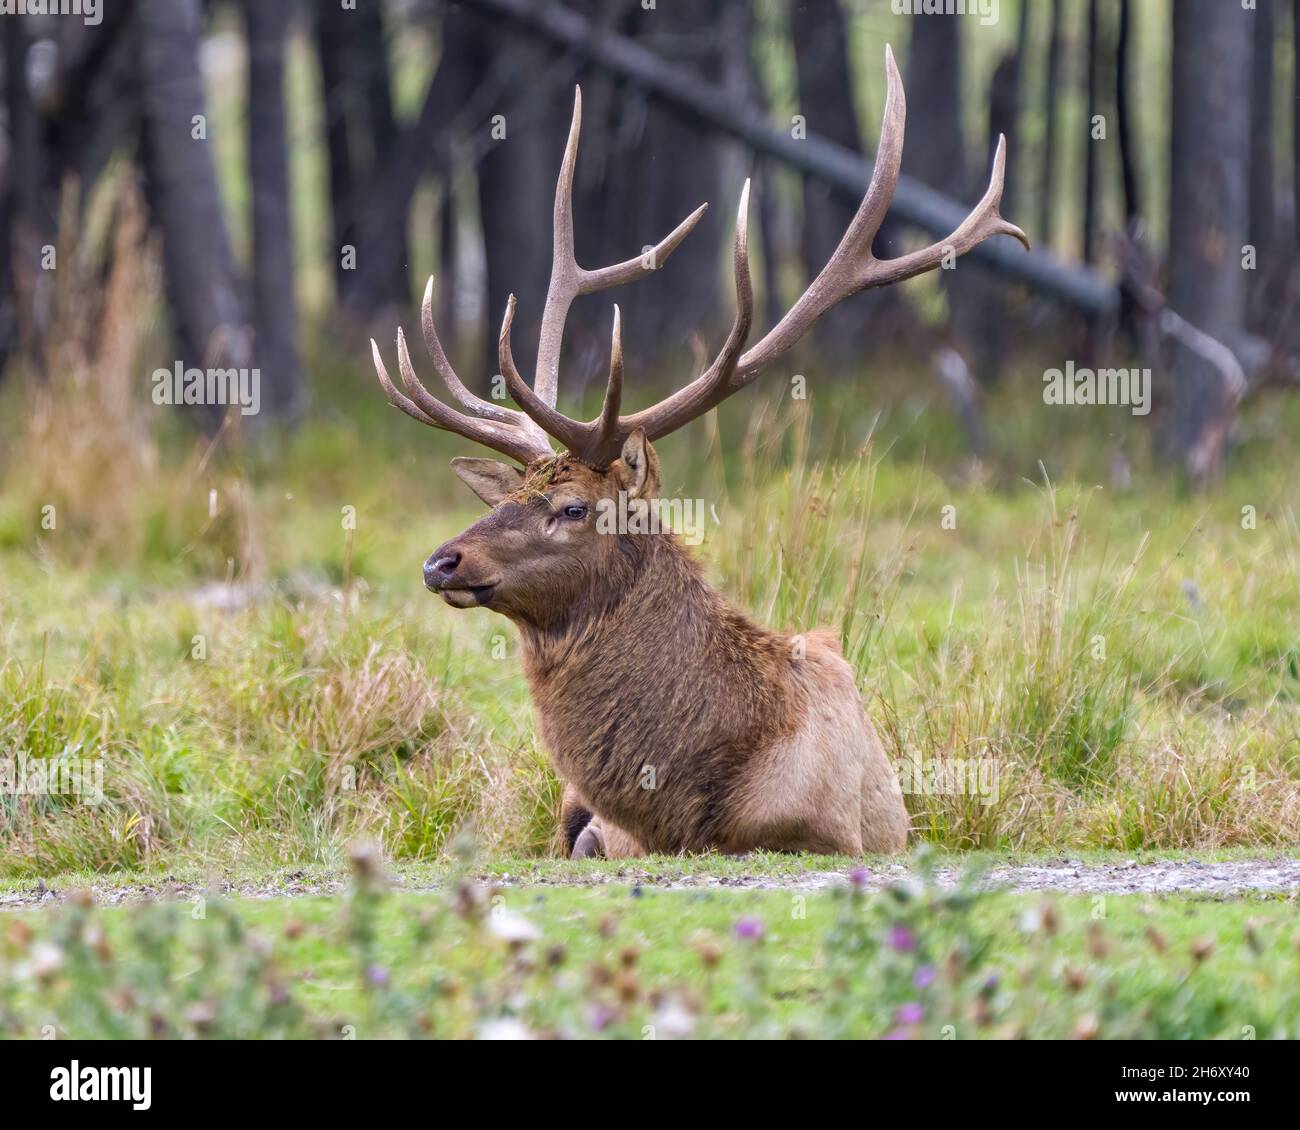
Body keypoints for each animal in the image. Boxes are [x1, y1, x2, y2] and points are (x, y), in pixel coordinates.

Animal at [370, 47, 1028, 859]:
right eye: (508, 496)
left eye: (573, 507)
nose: (442, 562)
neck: (690, 811)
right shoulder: (602, 832)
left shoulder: (830, 837)